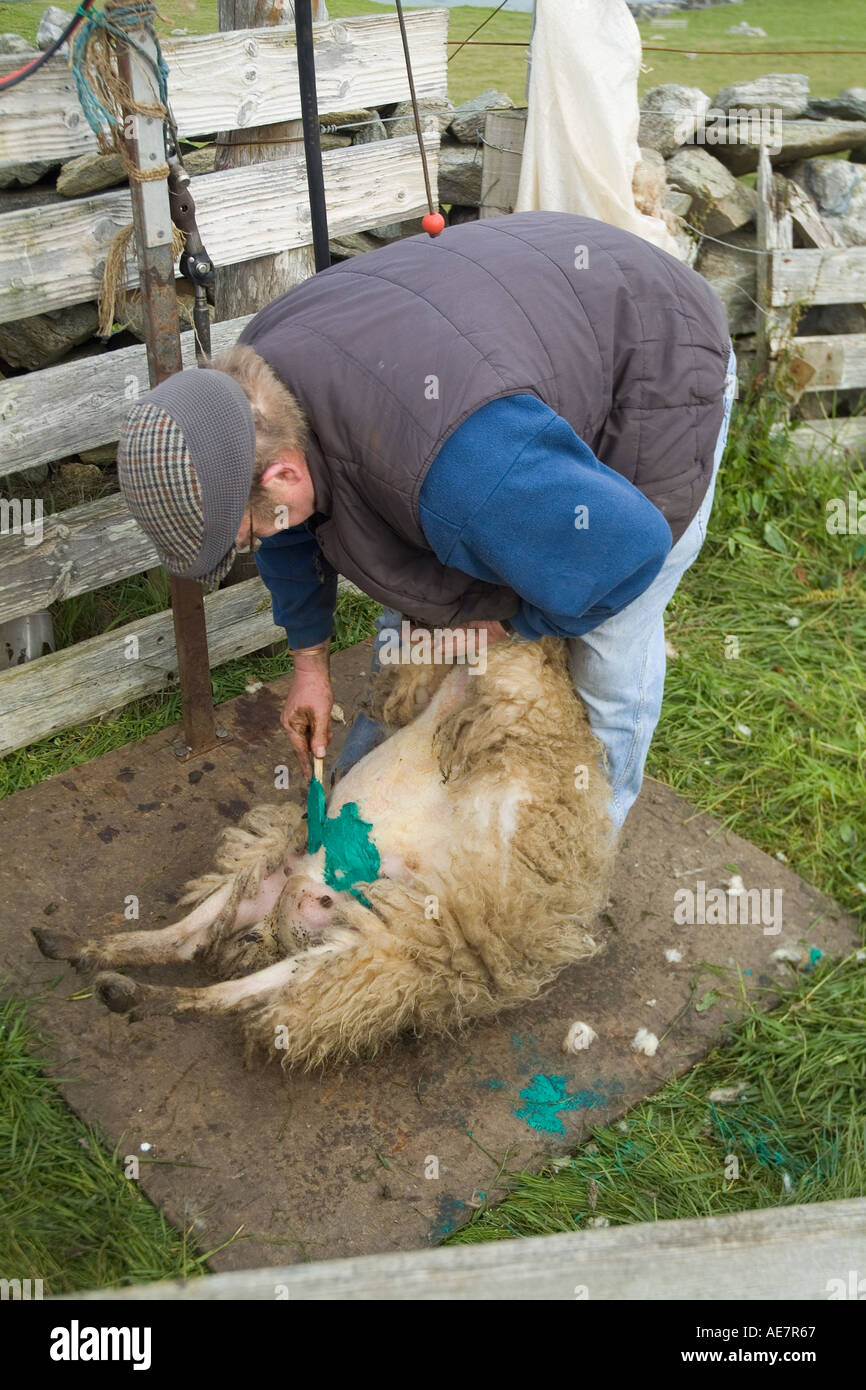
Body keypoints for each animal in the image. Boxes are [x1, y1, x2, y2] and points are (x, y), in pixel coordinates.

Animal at [33, 636, 616, 1070]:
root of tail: (281, 924)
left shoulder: (516, 697)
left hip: (369, 949)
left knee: (234, 992)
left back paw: (132, 994)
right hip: (276, 874)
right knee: (186, 940)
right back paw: (80, 950)